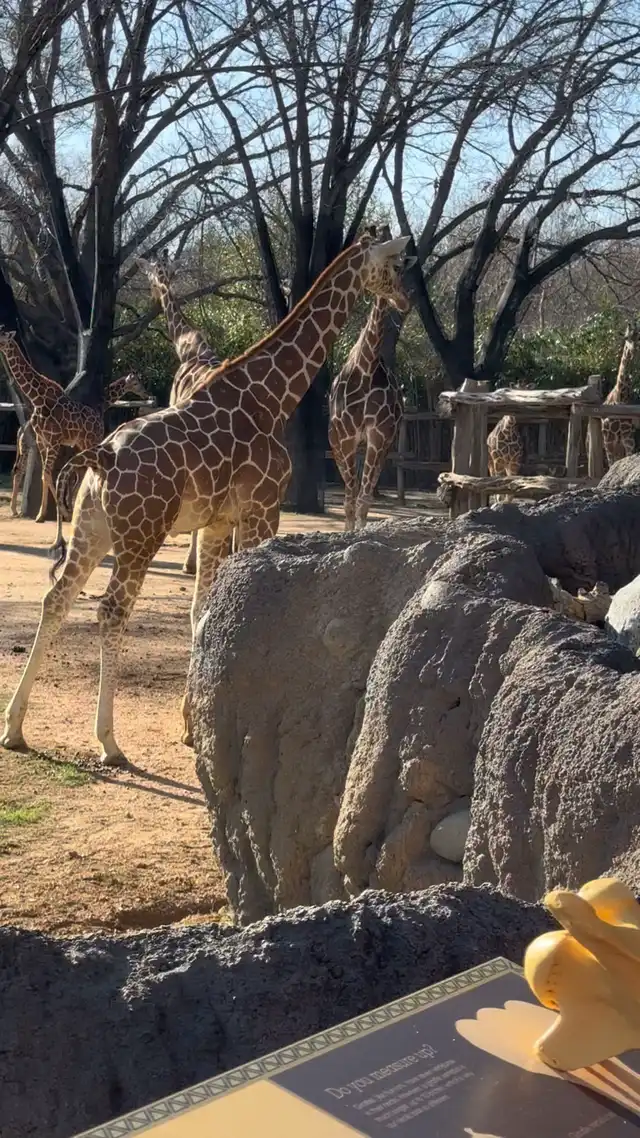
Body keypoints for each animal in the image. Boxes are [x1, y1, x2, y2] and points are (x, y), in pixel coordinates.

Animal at [0, 327, 147, 521]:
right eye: (136, 382)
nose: (146, 392)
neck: (38, 398)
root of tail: (20, 430)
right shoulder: (45, 441)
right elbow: (51, 474)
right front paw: (52, 512)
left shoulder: (56, 441)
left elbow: (60, 474)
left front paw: (62, 511)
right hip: (35, 446)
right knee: (20, 471)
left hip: (84, 441)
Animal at [329, 295, 406, 531]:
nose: (402, 304)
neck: (366, 369)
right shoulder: (347, 437)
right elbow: (350, 498)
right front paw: (349, 532)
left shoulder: (378, 434)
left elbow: (363, 498)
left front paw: (361, 532)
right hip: (337, 444)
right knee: (351, 491)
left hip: (384, 445)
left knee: (366, 490)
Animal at [602, 322, 639, 468]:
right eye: (626, 338)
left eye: (639, 337)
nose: (633, 351)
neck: (621, 396)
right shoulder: (610, 440)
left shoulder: (628, 436)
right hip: (608, 441)